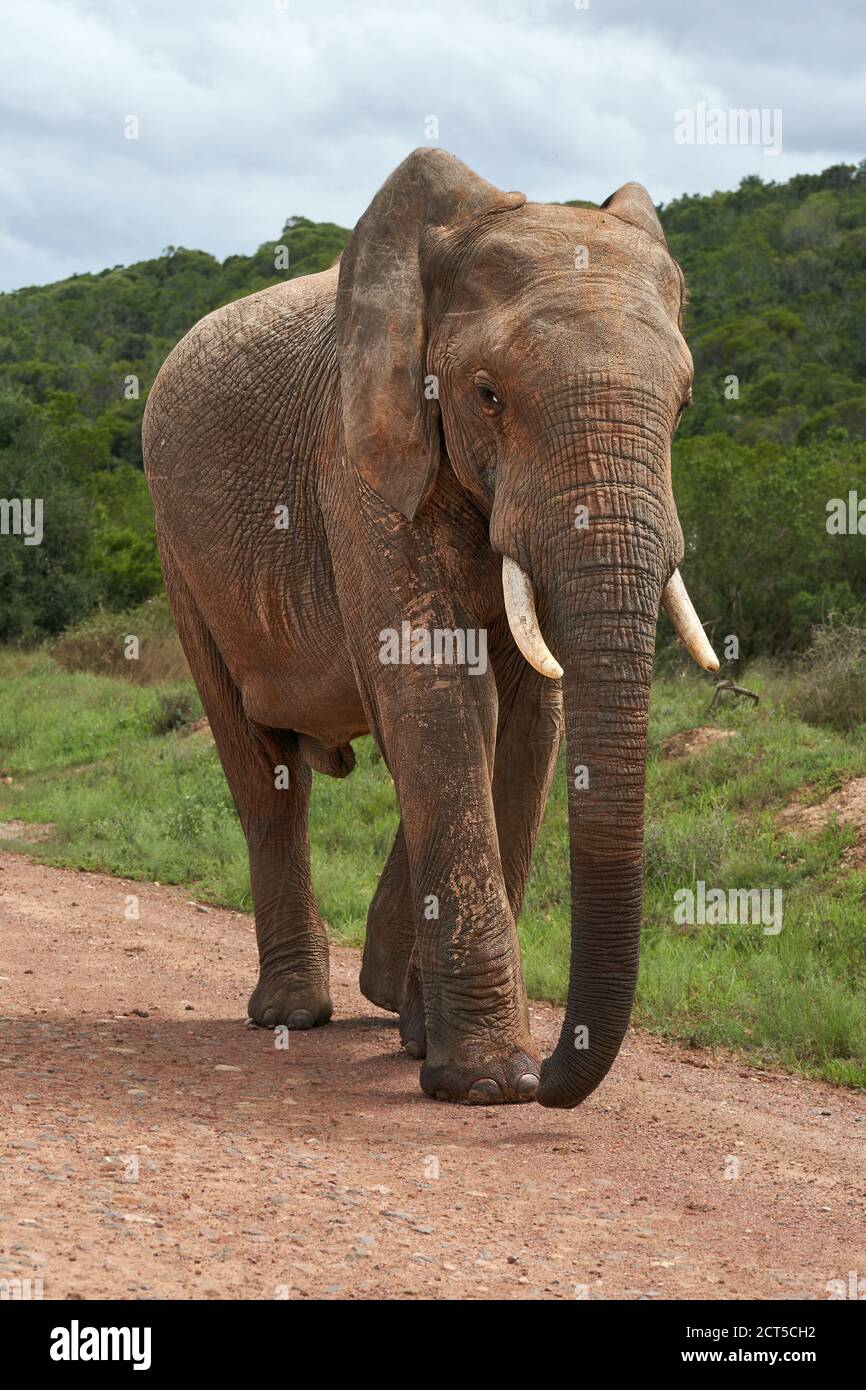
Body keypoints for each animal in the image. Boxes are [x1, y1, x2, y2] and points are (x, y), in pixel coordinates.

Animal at [142, 148, 717, 1109]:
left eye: (681, 406)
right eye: (487, 396)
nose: (550, 1081)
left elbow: (522, 722)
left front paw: (446, 1054)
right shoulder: (360, 465)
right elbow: (437, 699)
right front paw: (488, 1082)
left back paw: (387, 1005)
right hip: (179, 553)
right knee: (264, 775)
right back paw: (293, 1015)